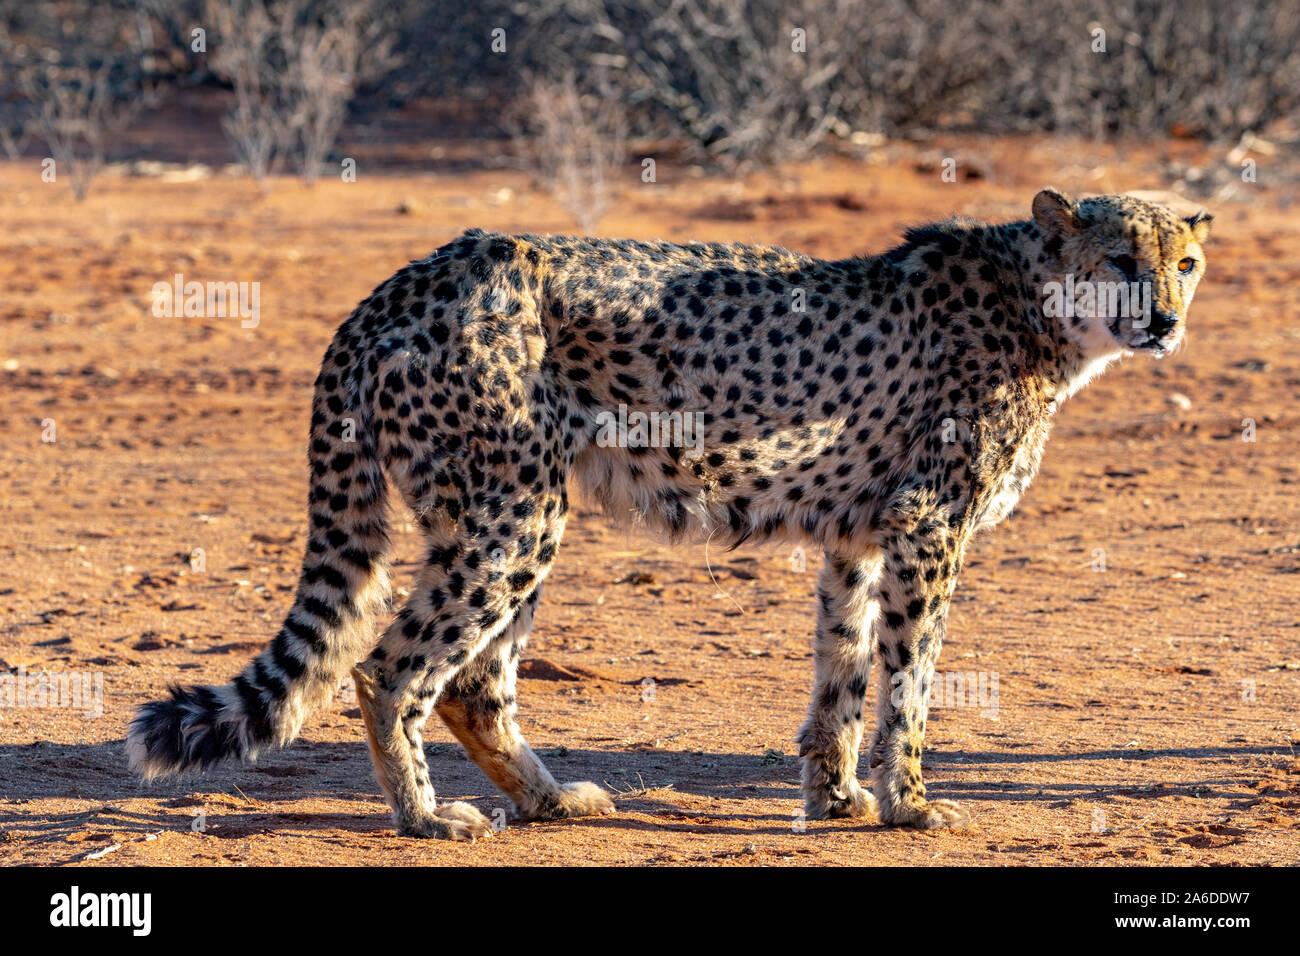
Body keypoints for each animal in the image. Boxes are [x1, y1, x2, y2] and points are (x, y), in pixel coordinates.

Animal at [127, 188, 1211, 839]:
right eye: (1122, 258)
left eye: (1185, 261)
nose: (1163, 319)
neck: (1038, 303)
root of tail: (407, 279)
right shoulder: (927, 527)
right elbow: (907, 677)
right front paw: (908, 803)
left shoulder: (860, 534)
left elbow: (843, 669)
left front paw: (838, 794)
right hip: (511, 510)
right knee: (390, 667)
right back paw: (429, 819)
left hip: (511, 511)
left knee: (473, 681)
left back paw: (551, 799)